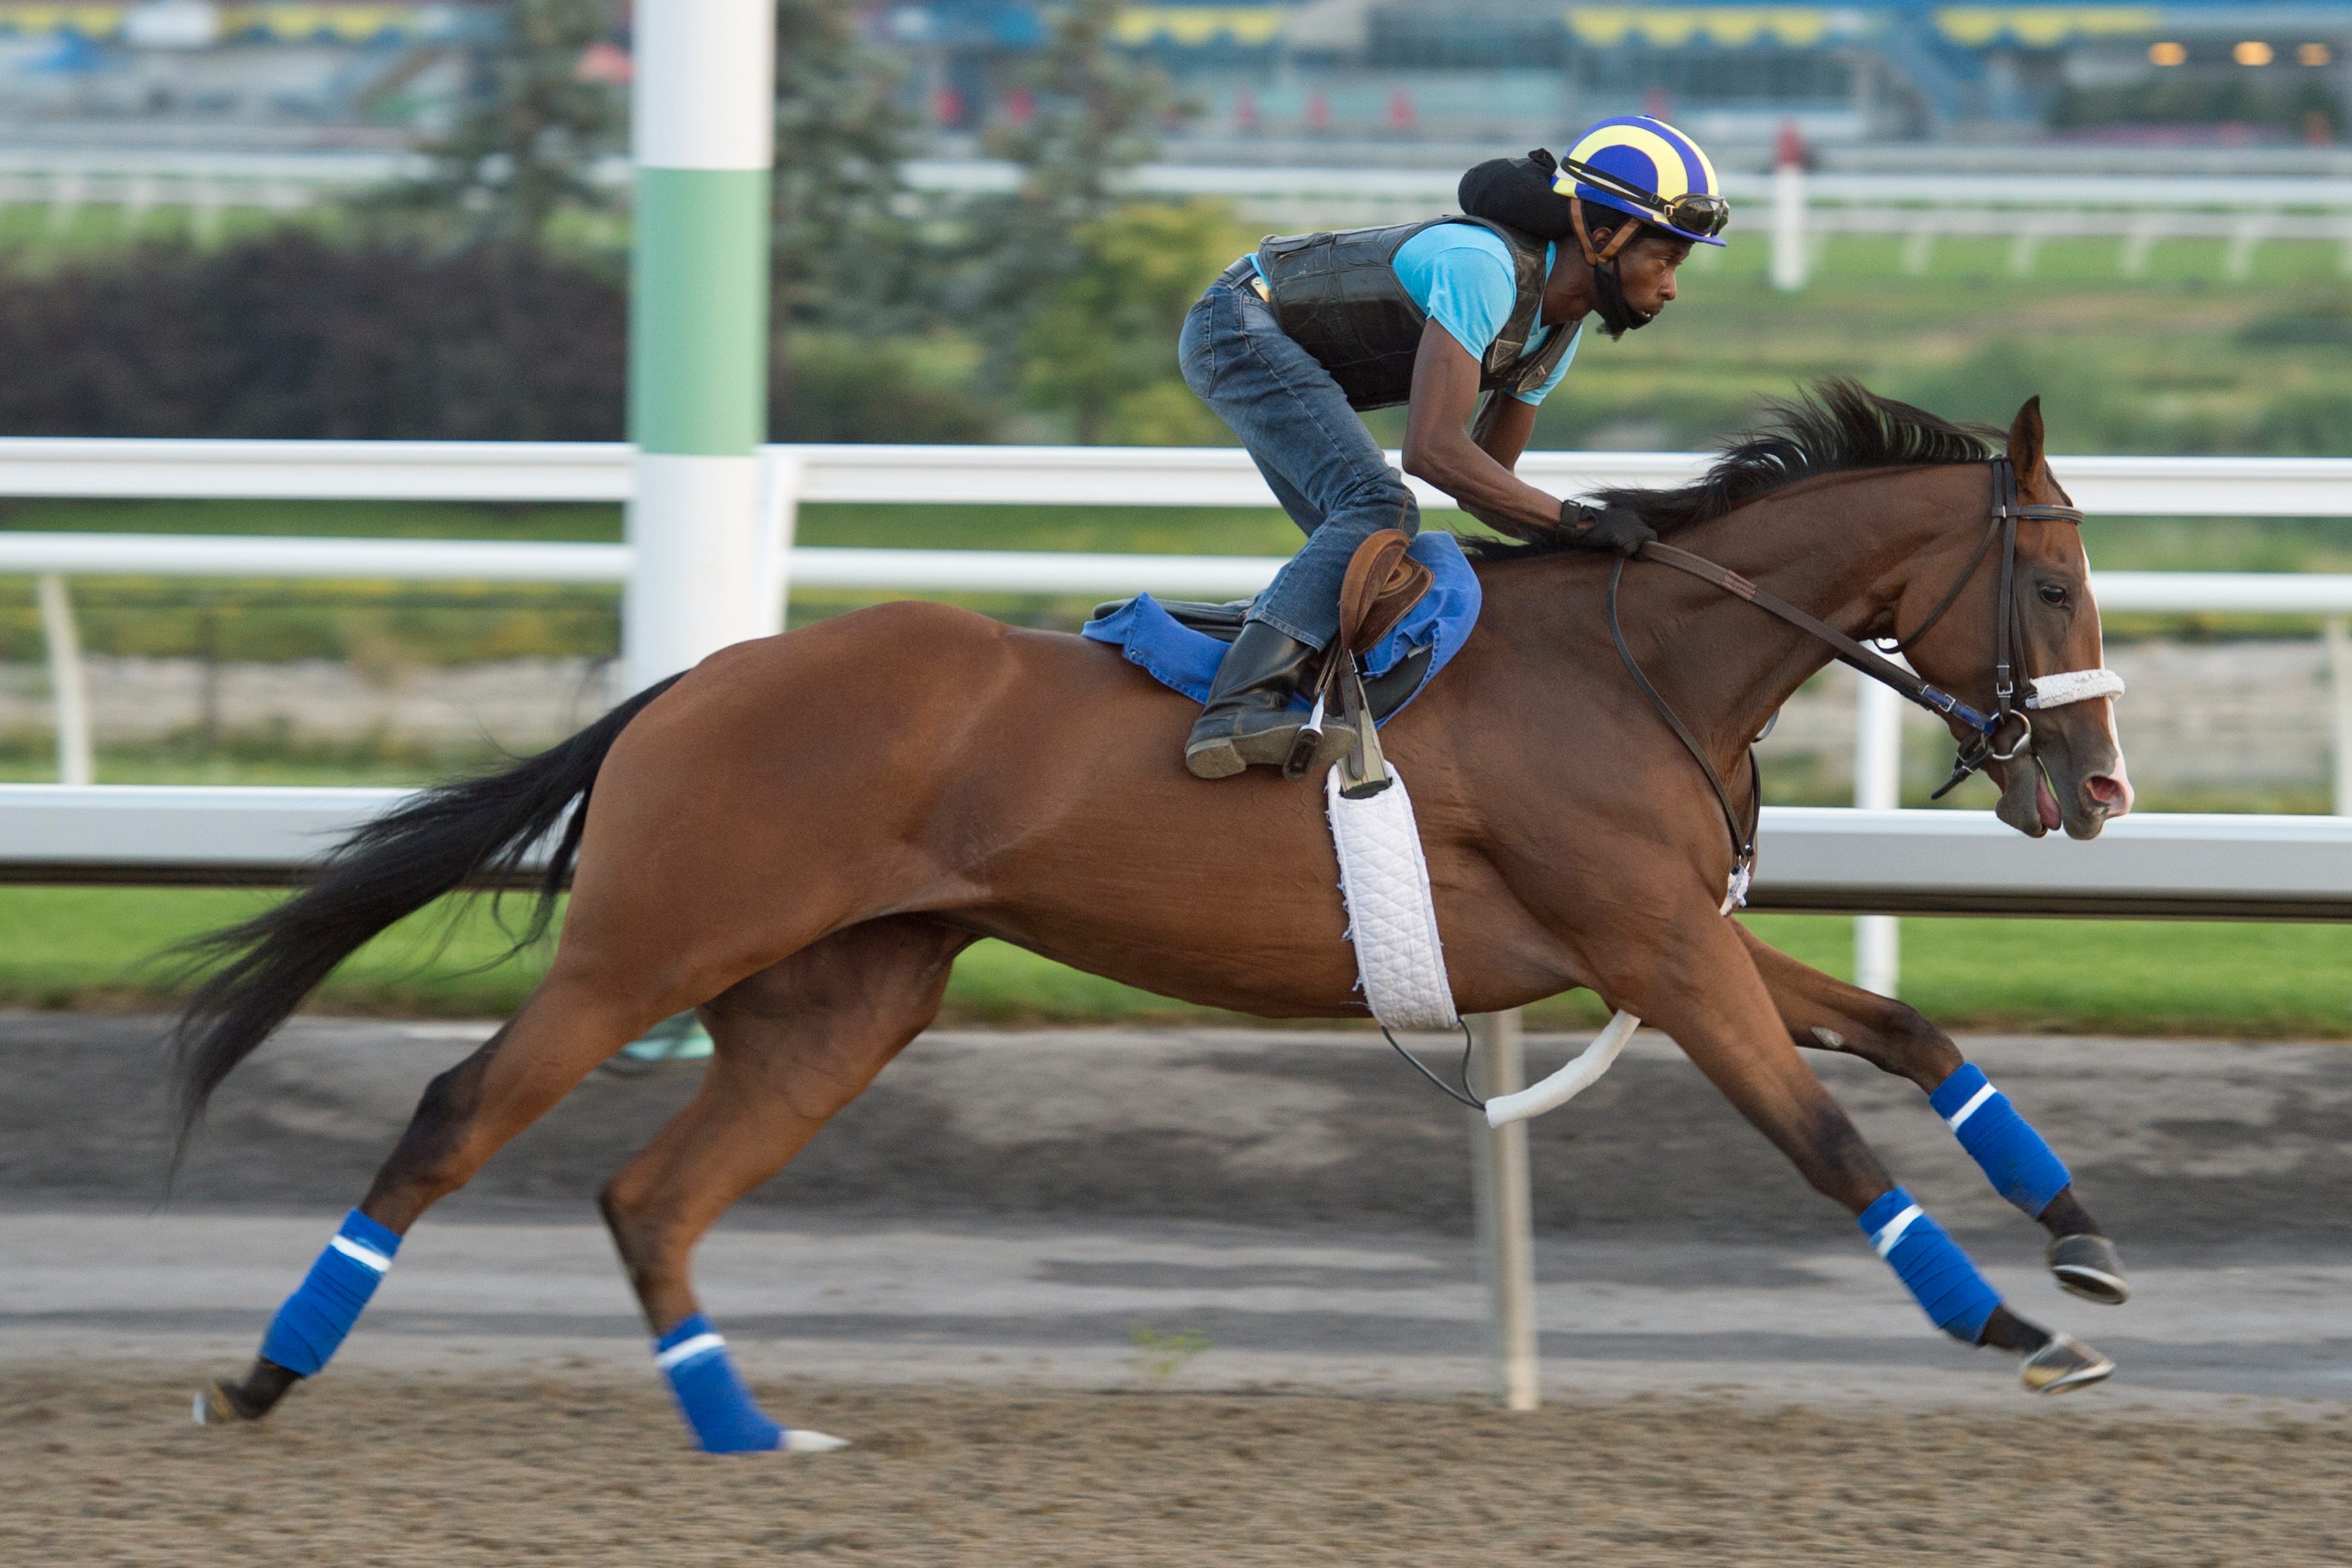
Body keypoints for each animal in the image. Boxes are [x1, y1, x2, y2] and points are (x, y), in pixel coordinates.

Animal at [170, 381, 2134, 1448]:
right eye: (2050, 580)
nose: (2099, 789)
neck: (1640, 662)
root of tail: (693, 682)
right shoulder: (1650, 944)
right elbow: (1826, 1137)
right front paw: (2016, 1330)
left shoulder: (1669, 937)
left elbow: (1913, 1033)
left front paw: (2083, 1238)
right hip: (655, 938)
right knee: (456, 1116)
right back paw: (258, 1380)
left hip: (845, 998)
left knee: (652, 1193)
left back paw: (748, 1435)